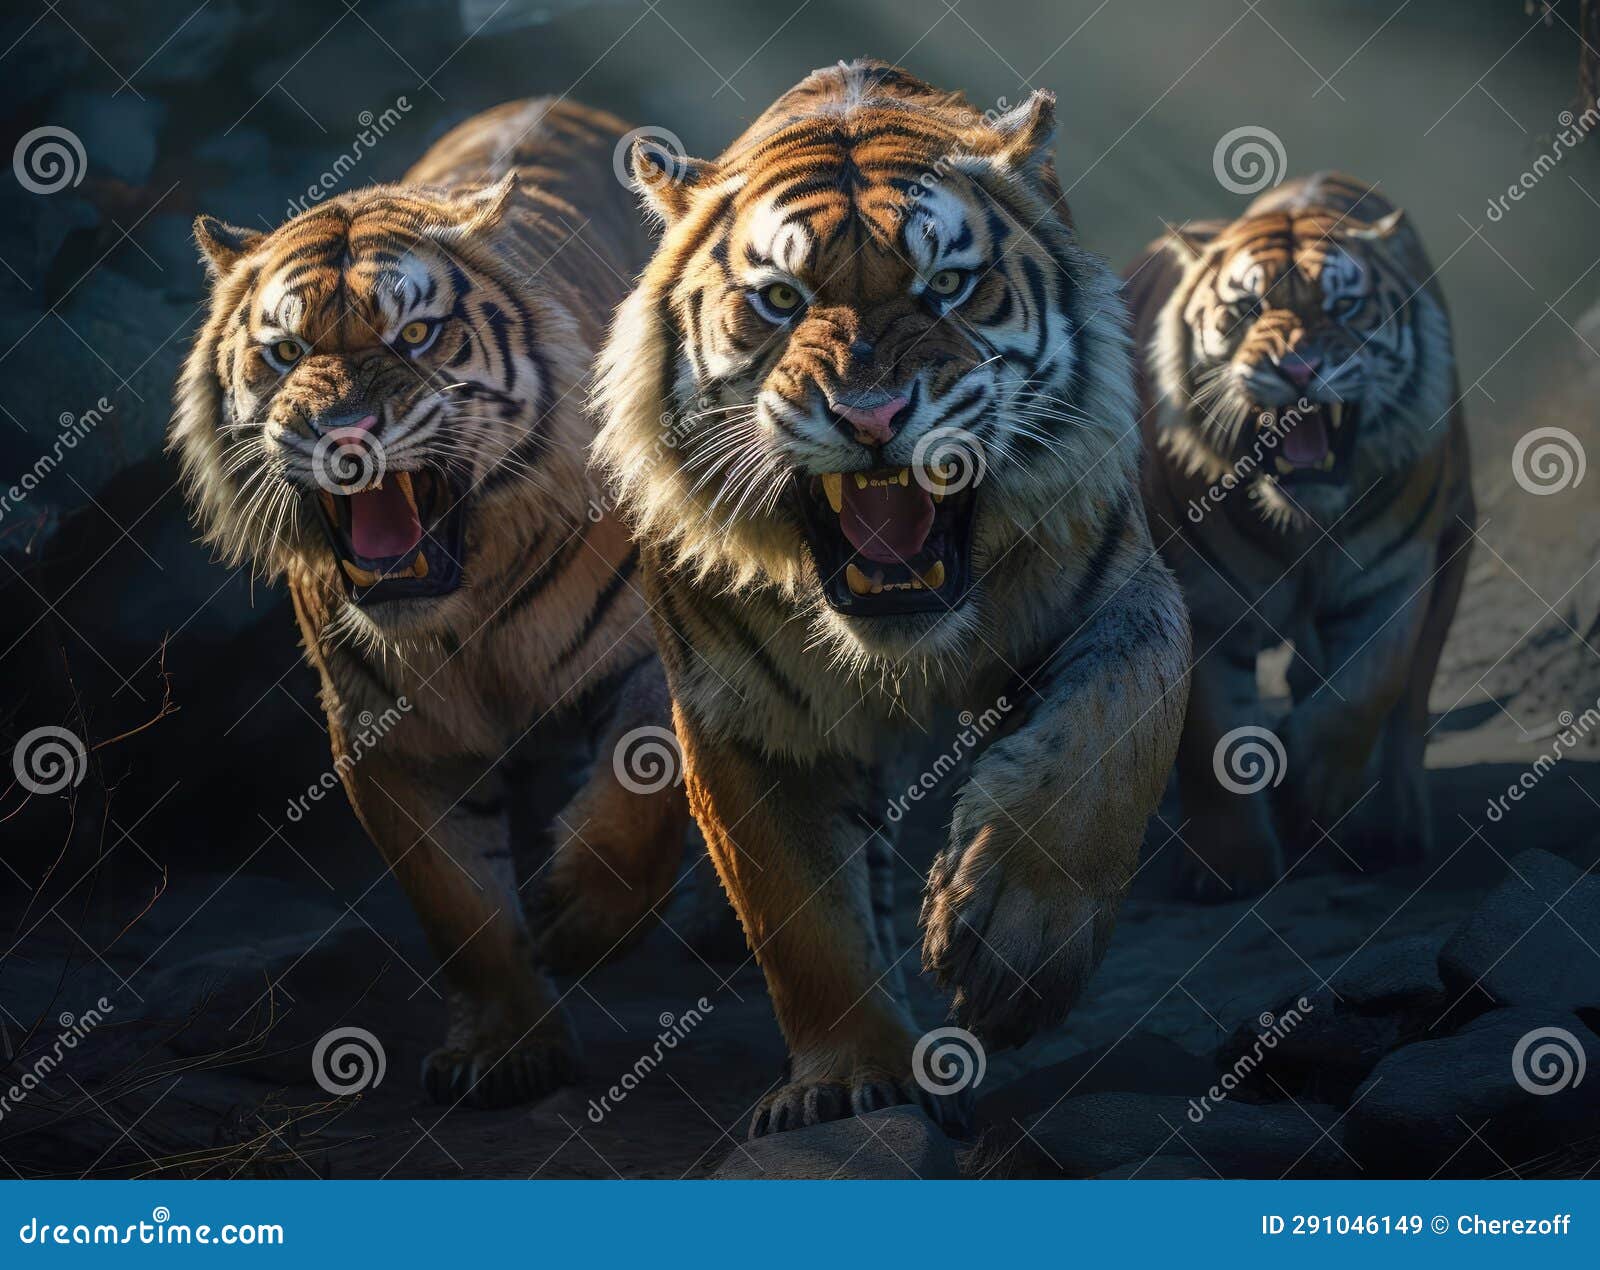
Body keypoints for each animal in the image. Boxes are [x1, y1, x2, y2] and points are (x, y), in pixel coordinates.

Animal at [169, 99, 690, 1107]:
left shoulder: (654, 649)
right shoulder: (387, 731)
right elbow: (459, 906)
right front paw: (508, 1050)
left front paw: (579, 922)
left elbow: (642, 792)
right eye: (285, 352)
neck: (464, 608)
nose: (341, 434)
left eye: (413, 338)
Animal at [592, 60, 1190, 1138]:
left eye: (946, 285)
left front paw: (1016, 953)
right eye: (778, 299)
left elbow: (1111, 735)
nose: (870, 417)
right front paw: (848, 1081)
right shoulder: (746, 717)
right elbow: (802, 916)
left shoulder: (1123, 594)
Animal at [1126, 171, 1474, 901]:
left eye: (1344, 306)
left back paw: (1395, 830)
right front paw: (1230, 870)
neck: (1302, 528)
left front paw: (1311, 797)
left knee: (1410, 708)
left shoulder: (1395, 579)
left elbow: (1366, 691)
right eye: (1247, 308)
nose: (1299, 370)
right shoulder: (1200, 602)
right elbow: (1213, 730)